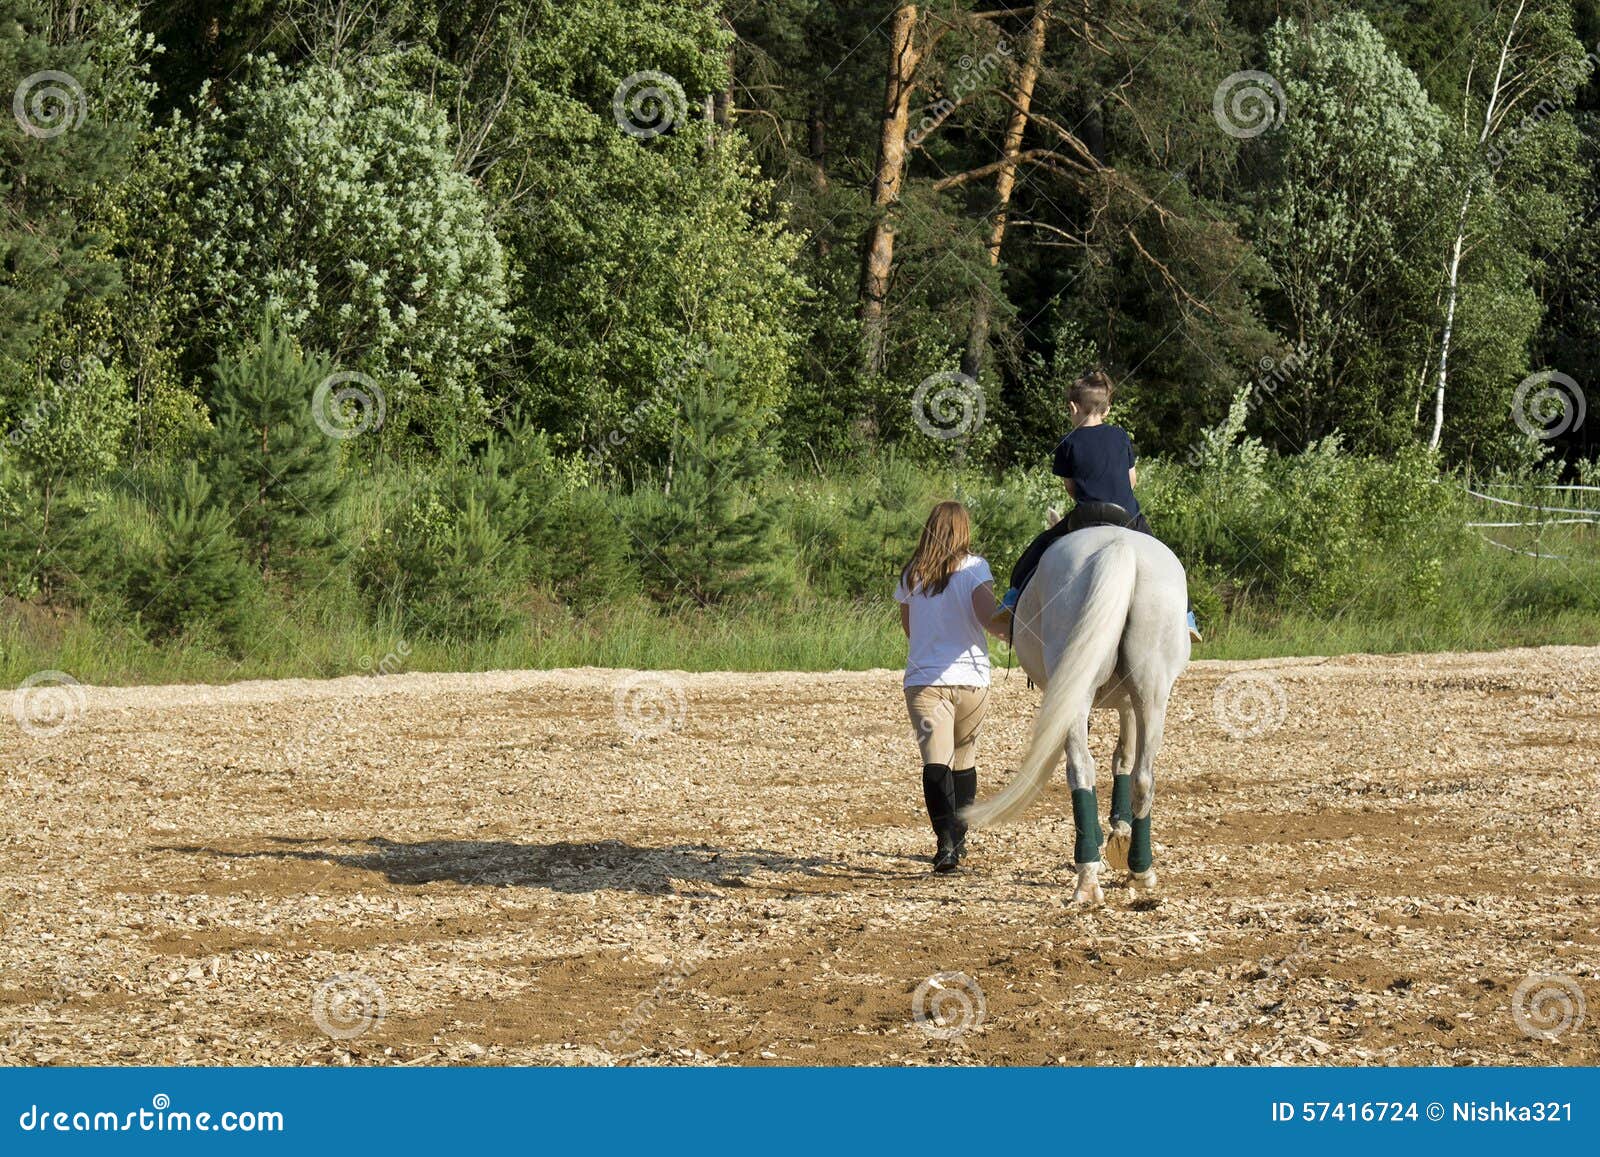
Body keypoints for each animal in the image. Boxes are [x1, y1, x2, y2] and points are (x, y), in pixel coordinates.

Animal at [963, 524, 1190, 905]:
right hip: (1145, 693)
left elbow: (1122, 759)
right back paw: (1129, 870)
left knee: (1098, 771)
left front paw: (1115, 834)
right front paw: (1117, 833)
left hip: (1111, 691)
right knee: (1122, 773)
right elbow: (1123, 759)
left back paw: (1102, 872)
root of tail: (1119, 546)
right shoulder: (1127, 704)